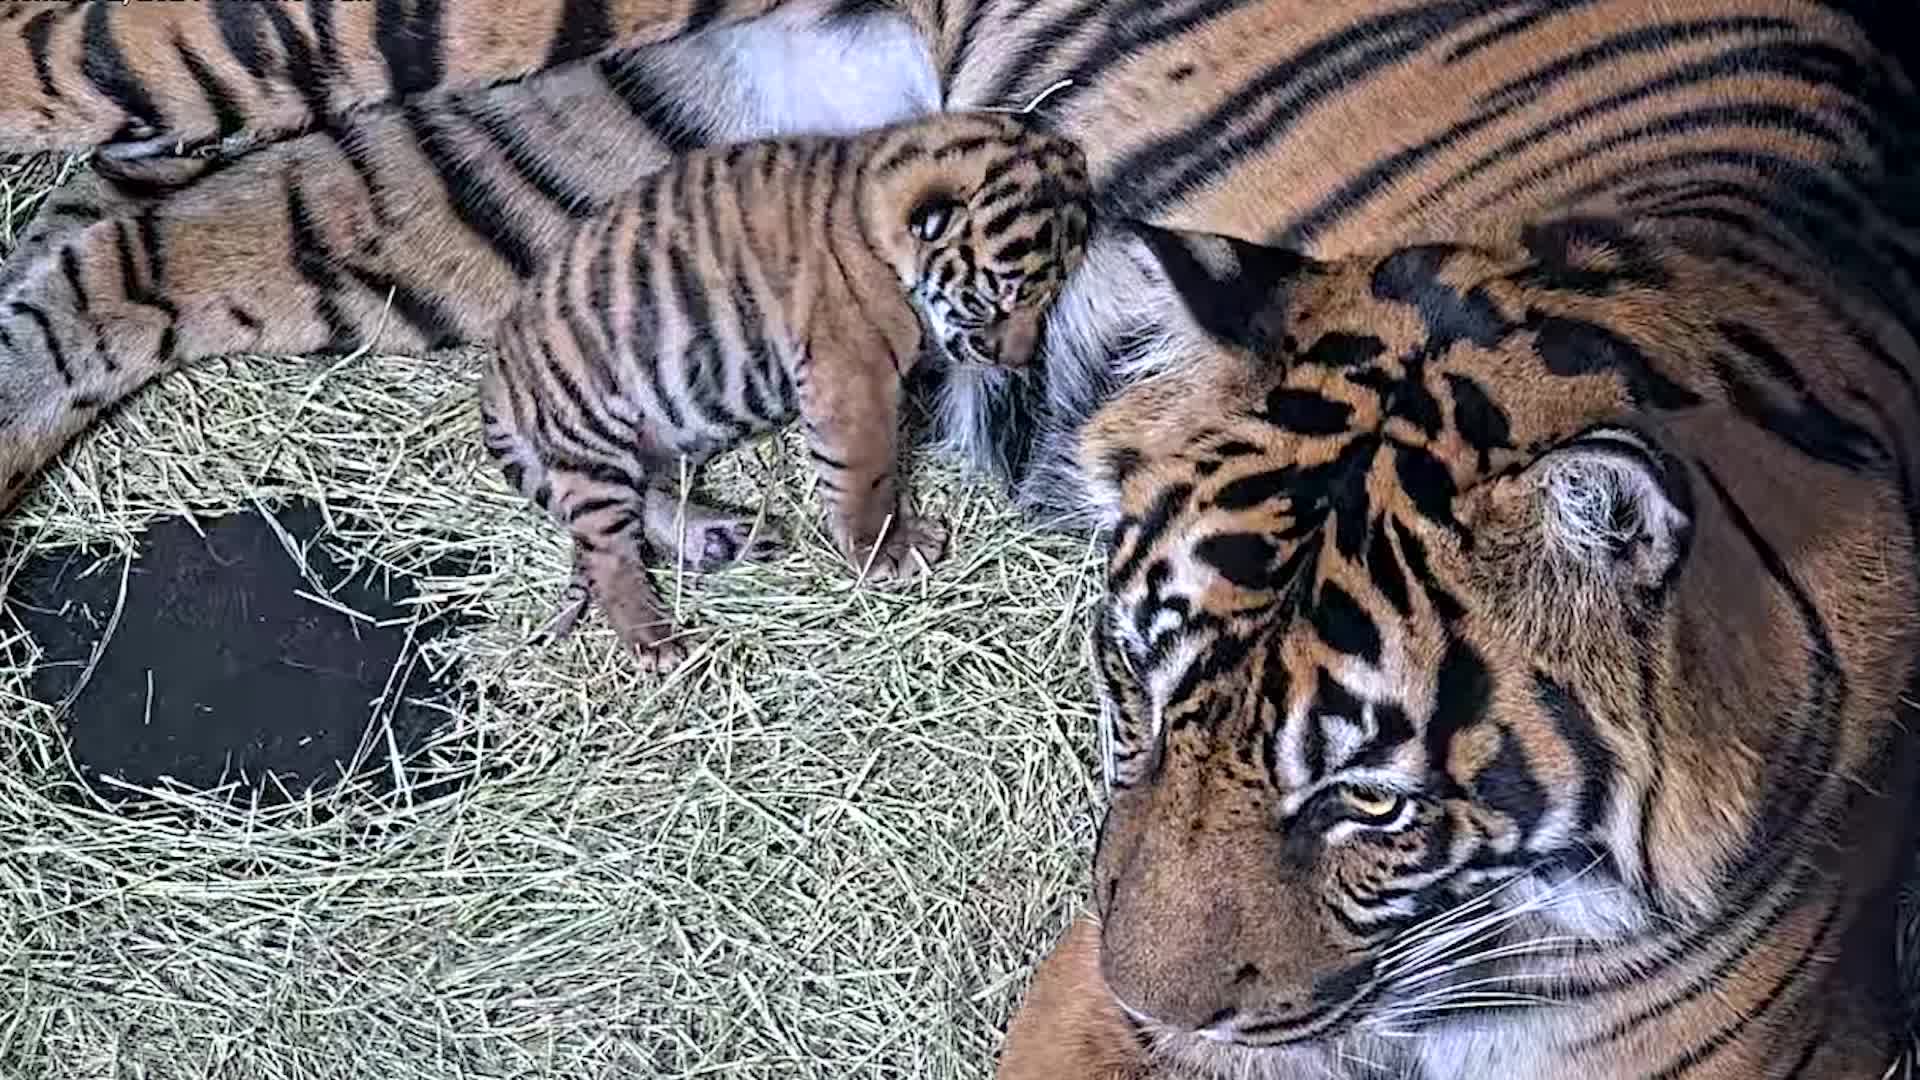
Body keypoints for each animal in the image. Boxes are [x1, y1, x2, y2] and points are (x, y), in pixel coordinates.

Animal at [480, 110, 1090, 672]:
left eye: (1050, 296)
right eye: (999, 300)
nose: (1018, 359)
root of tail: (496, 377)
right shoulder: (851, 377)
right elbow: (863, 476)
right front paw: (889, 551)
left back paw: (724, 537)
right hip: (591, 438)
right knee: (607, 554)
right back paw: (657, 641)